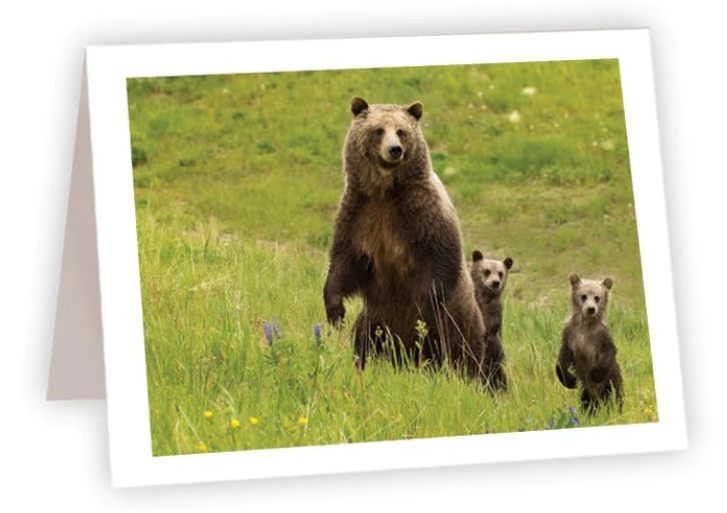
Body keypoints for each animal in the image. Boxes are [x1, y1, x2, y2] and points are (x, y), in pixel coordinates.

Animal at [323, 96, 491, 388]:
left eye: (401, 131)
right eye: (378, 129)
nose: (394, 150)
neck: (384, 192)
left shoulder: (422, 212)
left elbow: (440, 261)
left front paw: (425, 305)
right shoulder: (358, 214)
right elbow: (344, 261)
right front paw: (335, 311)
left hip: (459, 329)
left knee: (463, 358)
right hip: (375, 319)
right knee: (364, 341)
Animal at [469, 250, 512, 391]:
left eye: (500, 273)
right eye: (487, 271)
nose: (495, 282)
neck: (484, 297)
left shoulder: (494, 310)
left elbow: (491, 324)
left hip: (496, 361)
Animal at [555, 272, 624, 414]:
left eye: (597, 297)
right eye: (583, 296)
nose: (591, 309)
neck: (586, 326)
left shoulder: (600, 336)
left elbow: (609, 351)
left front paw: (595, 374)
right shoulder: (570, 335)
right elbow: (562, 357)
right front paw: (570, 380)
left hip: (612, 381)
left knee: (615, 397)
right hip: (586, 392)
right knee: (587, 402)